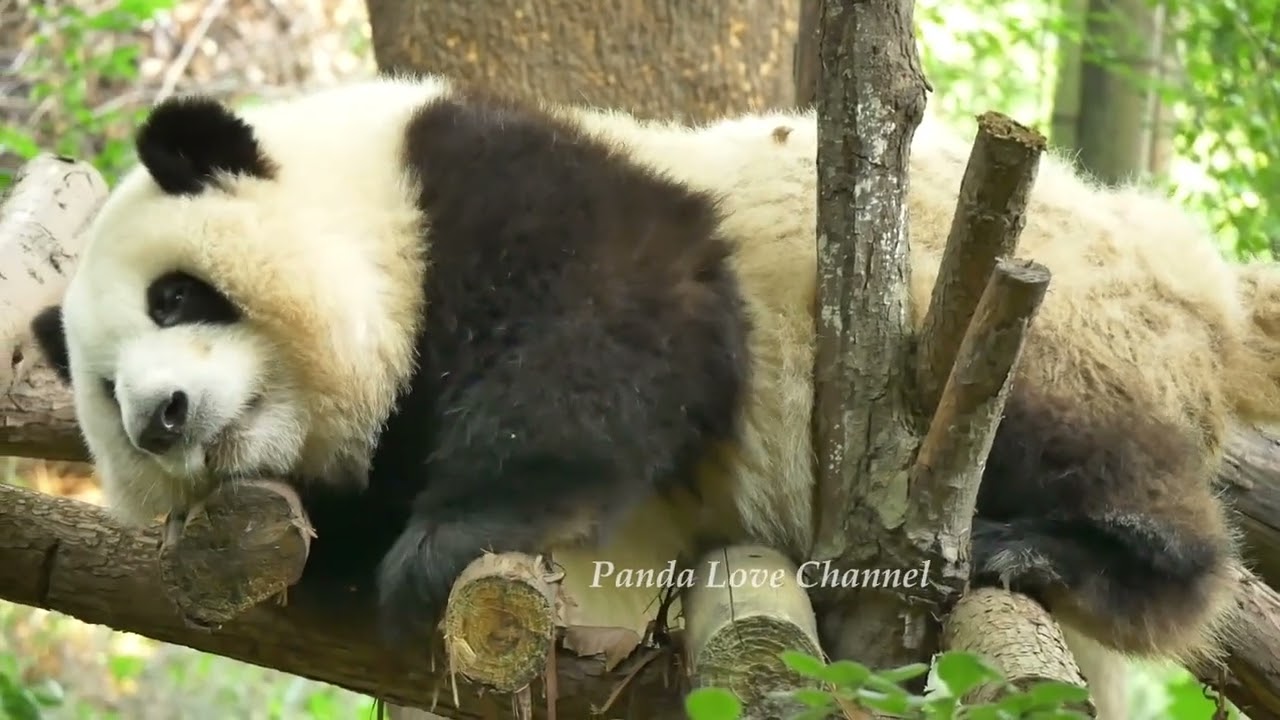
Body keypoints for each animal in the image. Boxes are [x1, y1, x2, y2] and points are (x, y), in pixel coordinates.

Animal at [29, 73, 1278, 698]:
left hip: (1037, 320)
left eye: (178, 298)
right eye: (104, 394)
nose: (163, 416)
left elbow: (614, 335)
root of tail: (1204, 283)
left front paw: (442, 545)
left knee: (1088, 452)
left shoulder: (505, 184)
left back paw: (1069, 552)